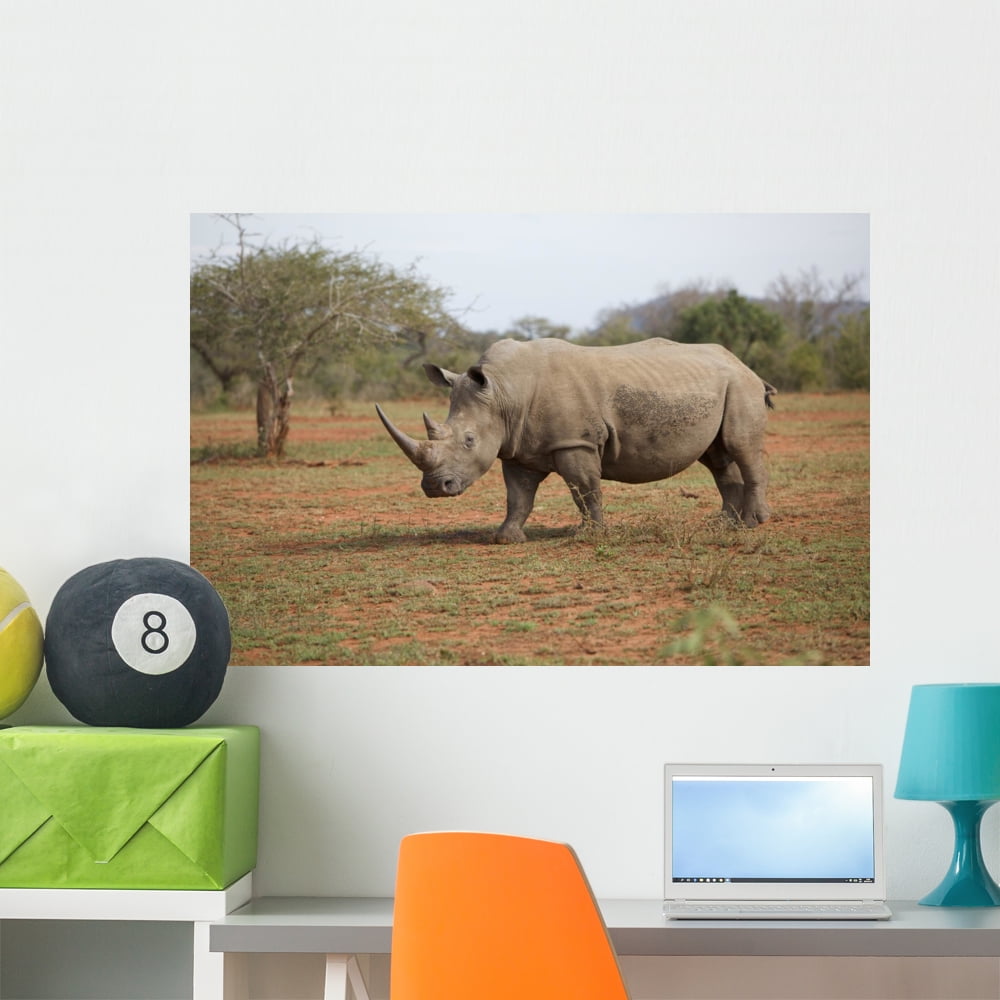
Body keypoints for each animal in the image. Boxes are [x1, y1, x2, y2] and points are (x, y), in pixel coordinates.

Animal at [376, 337, 775, 543]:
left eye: (469, 440)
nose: (434, 488)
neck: (503, 392)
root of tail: (745, 366)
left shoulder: (574, 442)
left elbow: (584, 489)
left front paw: (591, 535)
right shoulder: (516, 449)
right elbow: (518, 497)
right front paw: (506, 538)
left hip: (741, 387)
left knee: (741, 446)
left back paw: (753, 524)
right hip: (715, 387)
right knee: (718, 457)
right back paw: (724, 525)